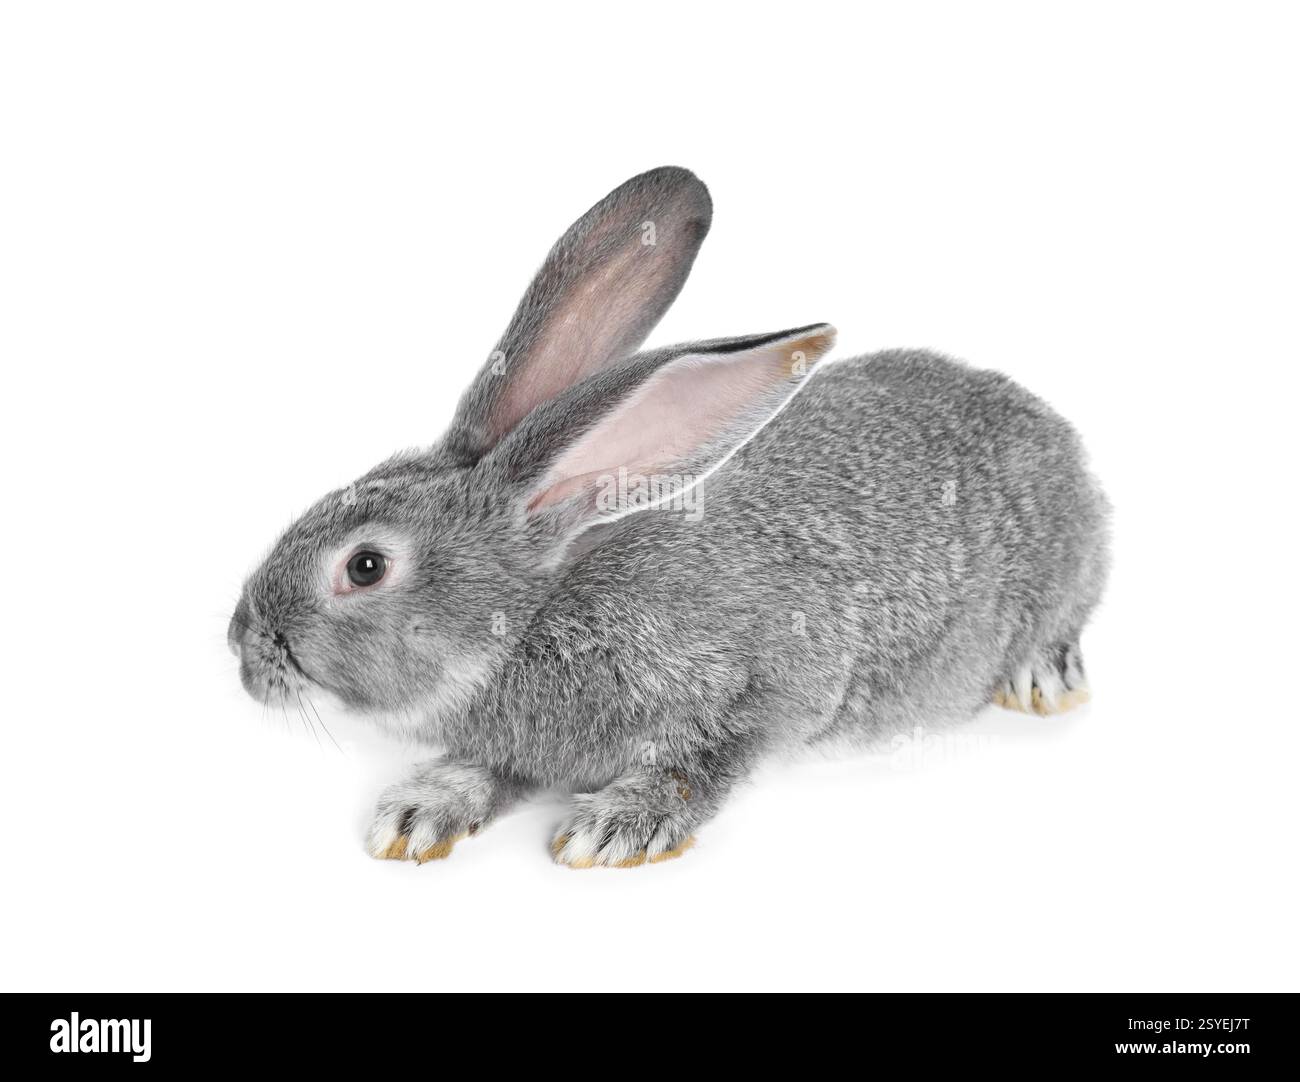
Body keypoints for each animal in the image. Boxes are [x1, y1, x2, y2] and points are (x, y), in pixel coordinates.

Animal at [229, 166, 1109, 868]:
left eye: (365, 566)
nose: (243, 648)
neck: (531, 616)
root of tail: (1050, 428)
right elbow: (492, 767)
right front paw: (423, 809)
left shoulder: (767, 688)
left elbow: (702, 764)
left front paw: (618, 825)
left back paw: (1043, 678)